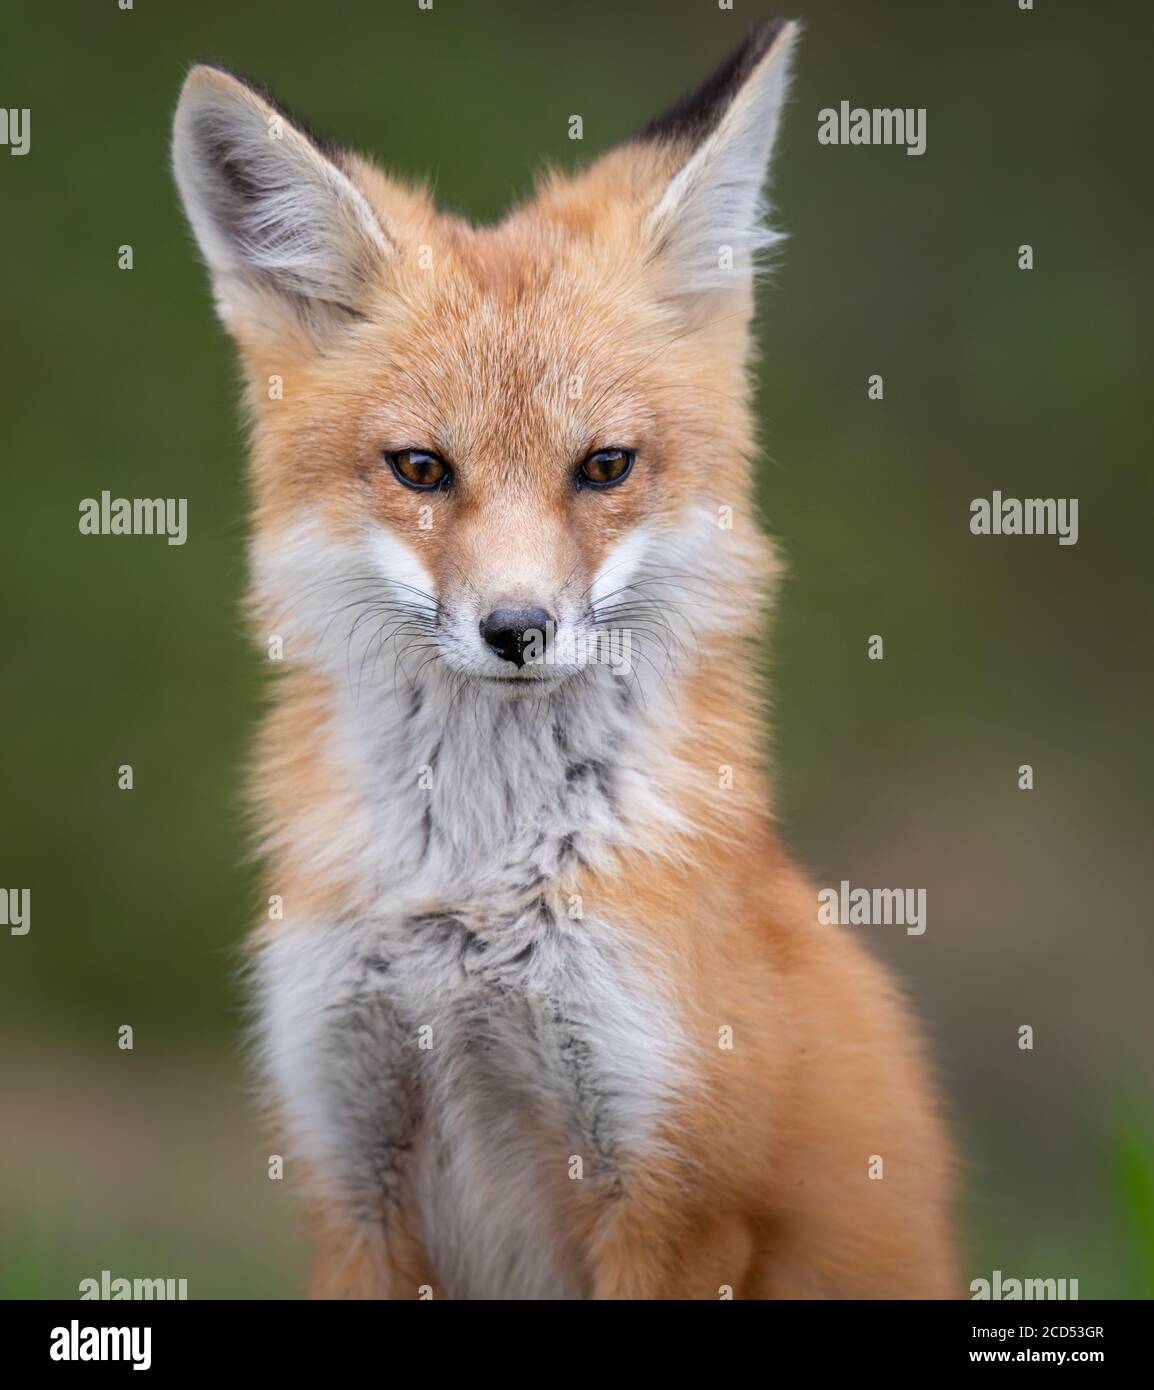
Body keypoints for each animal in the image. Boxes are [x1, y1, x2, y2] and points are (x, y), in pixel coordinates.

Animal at [172, 17, 958, 1299]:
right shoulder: (349, 1170)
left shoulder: (673, 1194)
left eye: (602, 466)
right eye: (420, 467)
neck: (470, 894)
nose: (518, 628)